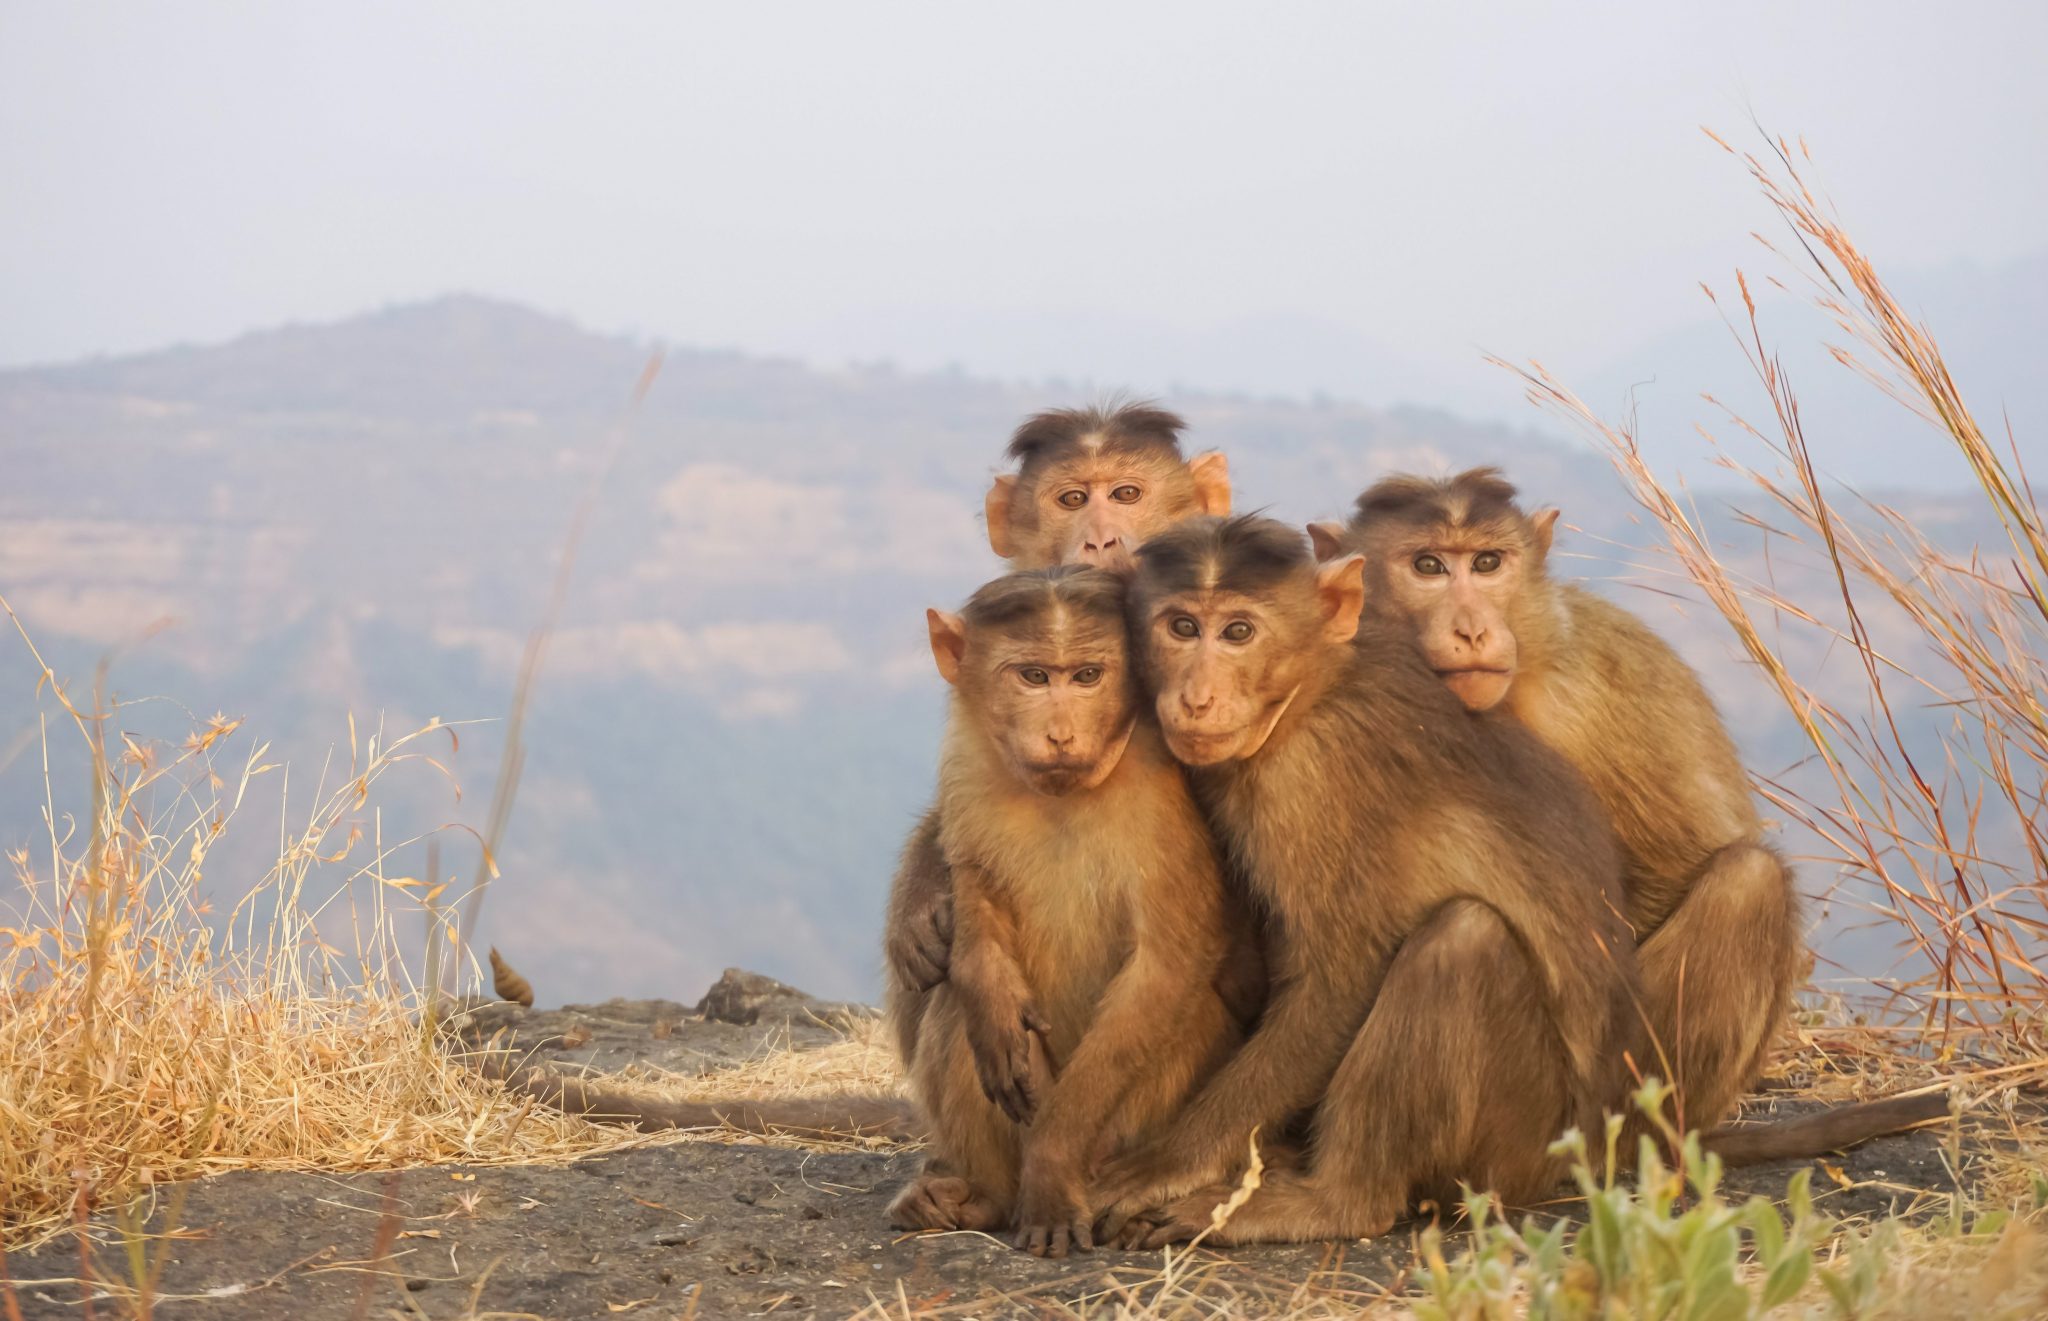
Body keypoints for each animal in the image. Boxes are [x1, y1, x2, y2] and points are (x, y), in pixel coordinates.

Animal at [886, 566, 1240, 1257]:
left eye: (1086, 676)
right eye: (1033, 676)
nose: (1060, 733)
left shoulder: (1160, 796)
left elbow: (1167, 964)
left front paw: (1050, 1165)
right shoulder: (966, 762)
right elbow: (973, 892)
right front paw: (989, 990)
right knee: (953, 1007)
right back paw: (985, 1198)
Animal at [1091, 513, 1644, 1248]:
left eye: (1237, 632)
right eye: (1181, 627)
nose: (1196, 696)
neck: (1311, 694)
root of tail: (1586, 1153)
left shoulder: (1318, 779)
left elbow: (1338, 977)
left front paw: (1168, 1163)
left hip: (1518, 1147)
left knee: (1462, 940)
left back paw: (1335, 1200)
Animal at [1305, 468, 1804, 1139]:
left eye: (1487, 563)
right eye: (1428, 565)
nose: (1472, 629)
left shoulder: (1596, 687)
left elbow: (1683, 861)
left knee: (1749, 883)